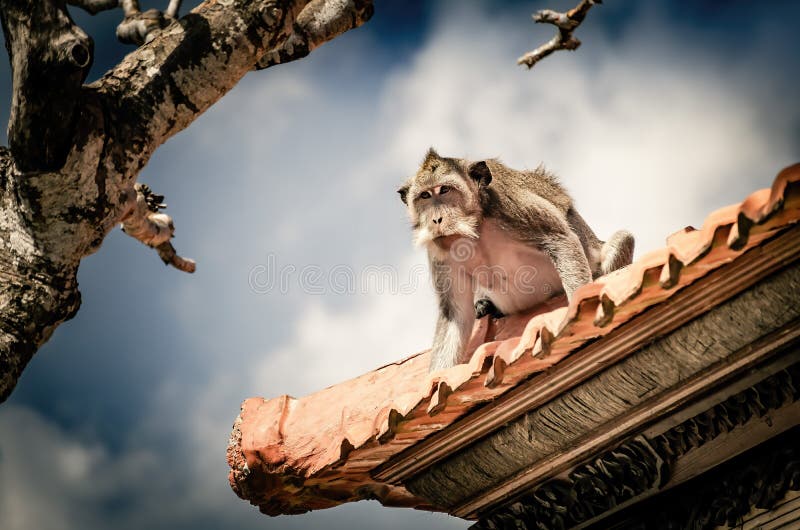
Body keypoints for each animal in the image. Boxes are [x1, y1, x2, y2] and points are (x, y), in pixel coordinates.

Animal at [398, 148, 634, 372]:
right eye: (425, 196)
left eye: (445, 190)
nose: (436, 219)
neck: (476, 225)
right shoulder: (439, 252)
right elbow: (455, 314)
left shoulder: (510, 206)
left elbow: (561, 240)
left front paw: (575, 315)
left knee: (623, 240)